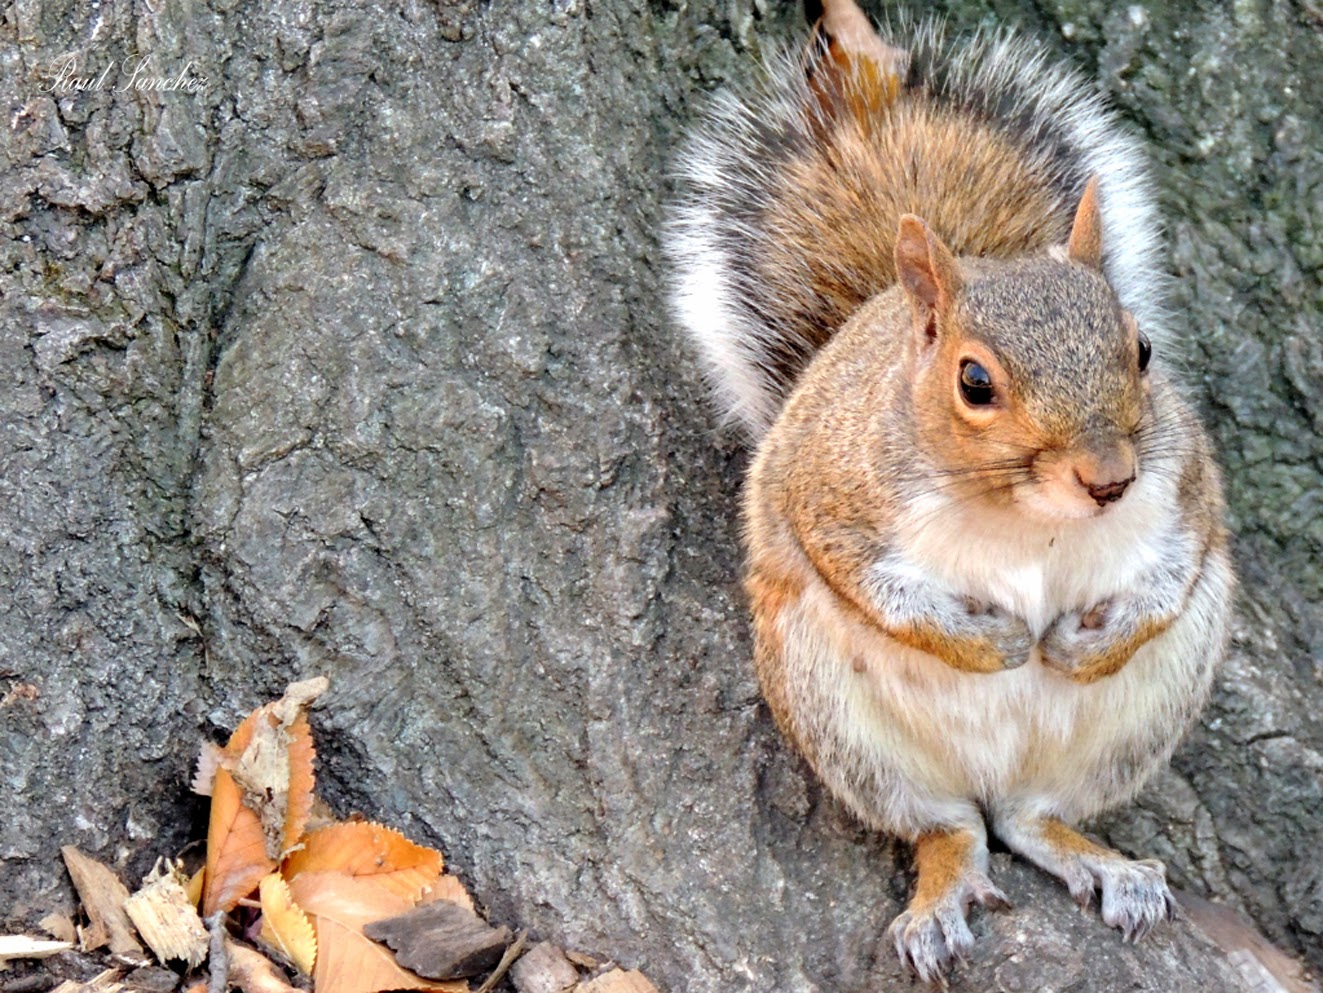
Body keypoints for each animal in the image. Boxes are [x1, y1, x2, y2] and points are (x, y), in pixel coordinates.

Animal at [666, 0, 1235, 984]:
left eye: (1142, 350)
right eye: (974, 382)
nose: (1109, 480)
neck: (1029, 521)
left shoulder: (1185, 485)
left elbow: (1178, 567)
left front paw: (1081, 645)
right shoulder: (831, 495)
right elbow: (872, 584)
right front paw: (992, 642)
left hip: (1140, 716)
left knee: (1028, 816)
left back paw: (1104, 864)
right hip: (838, 719)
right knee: (949, 829)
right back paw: (940, 897)